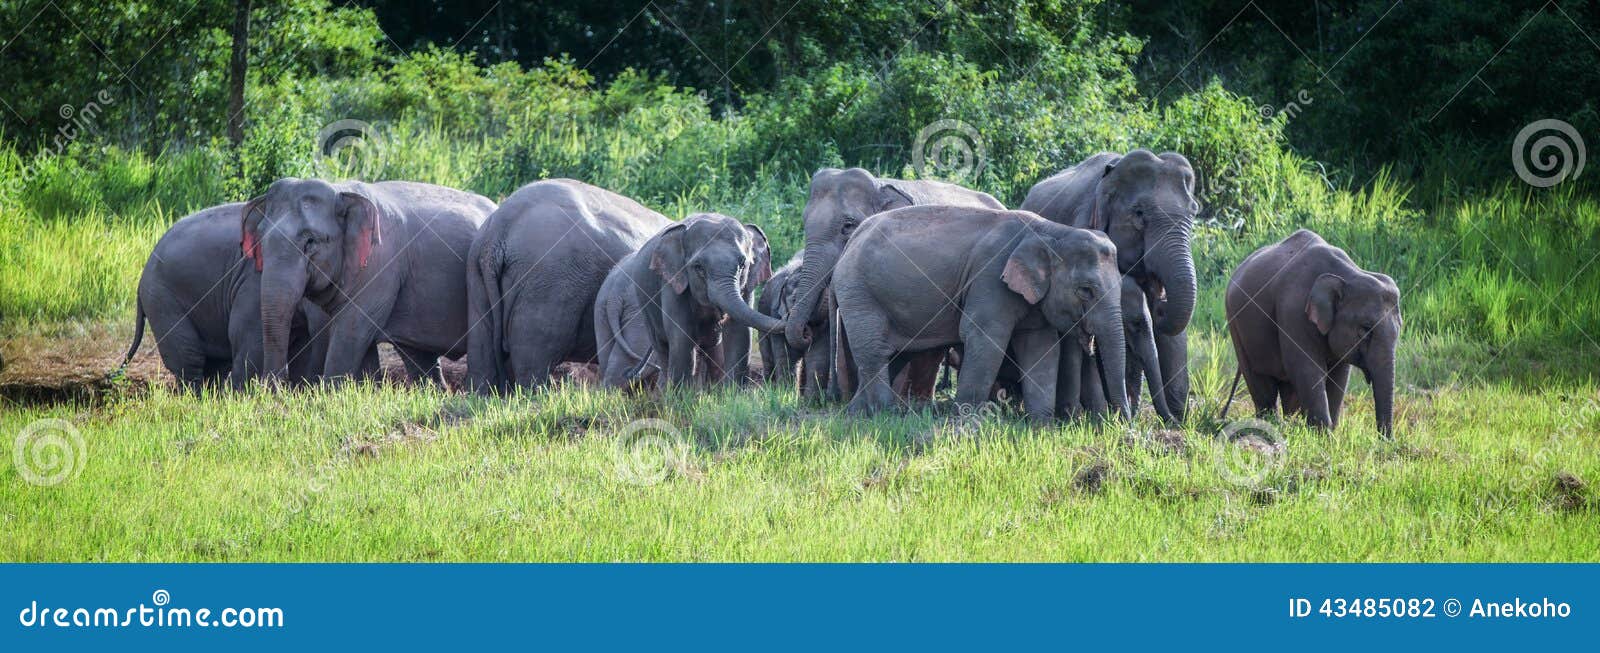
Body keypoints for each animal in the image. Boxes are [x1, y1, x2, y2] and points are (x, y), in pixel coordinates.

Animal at [118, 203, 356, 389]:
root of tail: (141, 279)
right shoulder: (254, 285)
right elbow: (248, 338)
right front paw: (241, 396)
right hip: (162, 299)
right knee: (189, 358)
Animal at [241, 179, 494, 382]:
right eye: (260, 239)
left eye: (311, 241)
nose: (275, 388)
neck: (340, 189)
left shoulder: (379, 268)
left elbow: (351, 332)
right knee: (420, 358)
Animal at [593, 213, 781, 387]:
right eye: (698, 267)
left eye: (743, 265)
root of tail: (613, 297)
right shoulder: (672, 281)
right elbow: (681, 336)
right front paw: (681, 397)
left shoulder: (747, 286)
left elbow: (739, 333)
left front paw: (733, 394)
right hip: (642, 304)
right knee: (662, 346)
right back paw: (664, 391)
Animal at [831, 206, 1129, 420]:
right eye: (1085, 290)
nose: (1122, 425)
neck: (1050, 230)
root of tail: (851, 240)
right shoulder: (989, 279)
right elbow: (985, 337)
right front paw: (966, 421)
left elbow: (1040, 347)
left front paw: (1040, 426)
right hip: (859, 293)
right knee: (875, 350)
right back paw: (884, 414)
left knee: (894, 355)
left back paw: (857, 414)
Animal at [1225, 229, 1402, 437]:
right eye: (1366, 329)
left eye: (1399, 331)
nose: (1385, 440)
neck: (1349, 275)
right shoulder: (1293, 311)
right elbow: (1307, 369)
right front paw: (1324, 436)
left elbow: (1339, 376)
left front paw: (1329, 433)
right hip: (1235, 325)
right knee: (1259, 381)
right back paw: (1270, 424)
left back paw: (1289, 424)